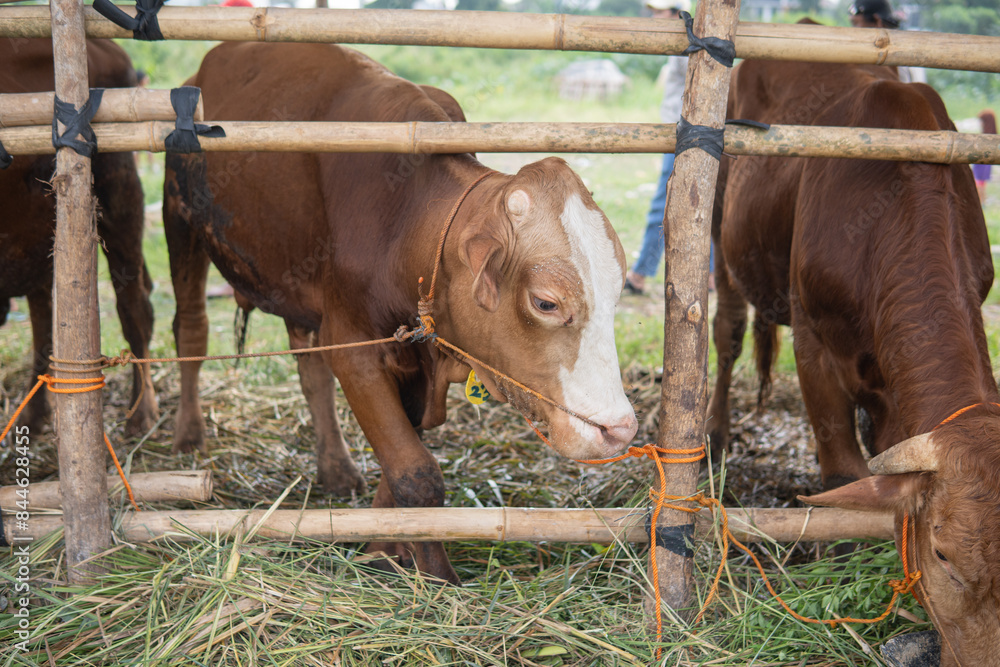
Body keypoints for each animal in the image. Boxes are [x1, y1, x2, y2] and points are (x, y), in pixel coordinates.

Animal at [163, 42, 638, 584]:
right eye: (545, 302)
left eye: (616, 291)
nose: (619, 430)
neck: (405, 221)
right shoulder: (355, 347)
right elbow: (416, 472)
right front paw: (437, 578)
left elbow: (399, 457)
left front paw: (382, 547)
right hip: (180, 220)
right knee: (191, 330)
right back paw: (188, 437)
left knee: (310, 372)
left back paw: (336, 467)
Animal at [707, 55, 999, 666]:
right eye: (942, 555)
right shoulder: (814, 349)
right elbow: (842, 468)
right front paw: (842, 562)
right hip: (722, 232)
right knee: (727, 333)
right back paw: (716, 434)